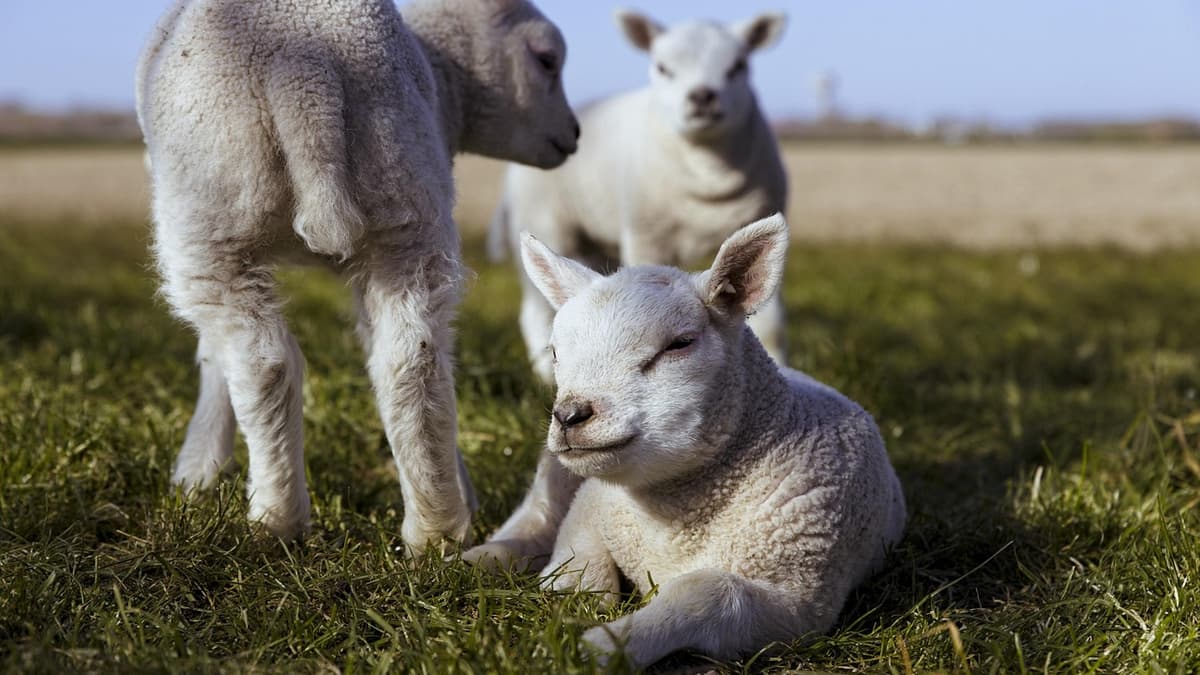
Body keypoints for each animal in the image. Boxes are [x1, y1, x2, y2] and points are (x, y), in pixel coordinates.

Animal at [136, 0, 580, 548]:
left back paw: (276, 518)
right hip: (405, 202)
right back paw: (435, 527)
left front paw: (197, 472)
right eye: (547, 60)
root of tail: (305, 70)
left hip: (209, 218)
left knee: (262, 363)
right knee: (410, 360)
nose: (575, 134)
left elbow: (212, 359)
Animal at [472, 214, 906, 666]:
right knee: (538, 512)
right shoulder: (591, 503)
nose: (569, 416)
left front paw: (600, 646)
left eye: (679, 344)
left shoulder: (801, 603)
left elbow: (705, 591)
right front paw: (568, 599)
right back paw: (477, 557)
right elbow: (577, 562)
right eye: (555, 352)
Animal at [488, 8, 790, 383]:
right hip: (544, 219)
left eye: (738, 66)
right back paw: (544, 373)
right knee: (535, 310)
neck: (707, 174)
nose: (702, 96)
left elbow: (771, 324)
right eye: (662, 68)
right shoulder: (647, 236)